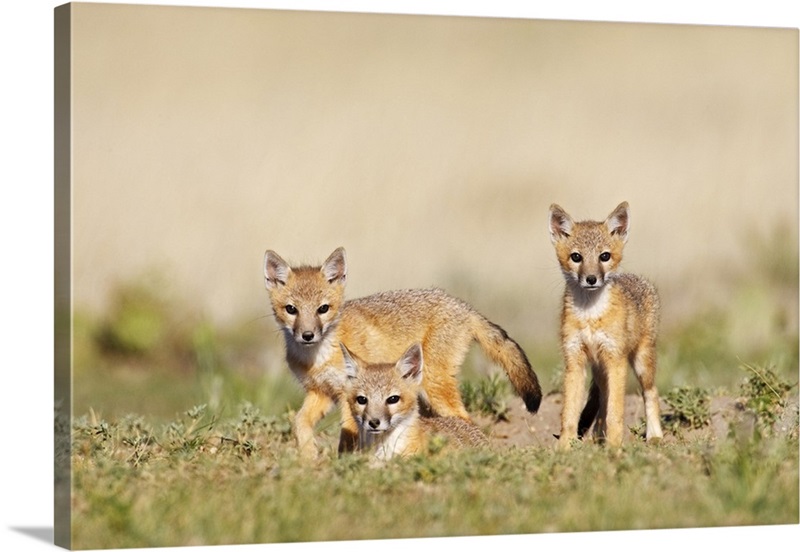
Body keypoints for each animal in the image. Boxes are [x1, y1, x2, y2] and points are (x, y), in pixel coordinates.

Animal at [548, 201, 663, 449]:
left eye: (604, 256)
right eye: (576, 257)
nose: (591, 279)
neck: (590, 316)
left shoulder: (616, 361)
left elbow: (615, 413)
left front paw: (614, 448)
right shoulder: (575, 361)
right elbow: (569, 414)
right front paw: (564, 448)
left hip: (641, 363)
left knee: (650, 392)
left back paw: (655, 435)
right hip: (600, 370)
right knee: (602, 400)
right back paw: (597, 438)